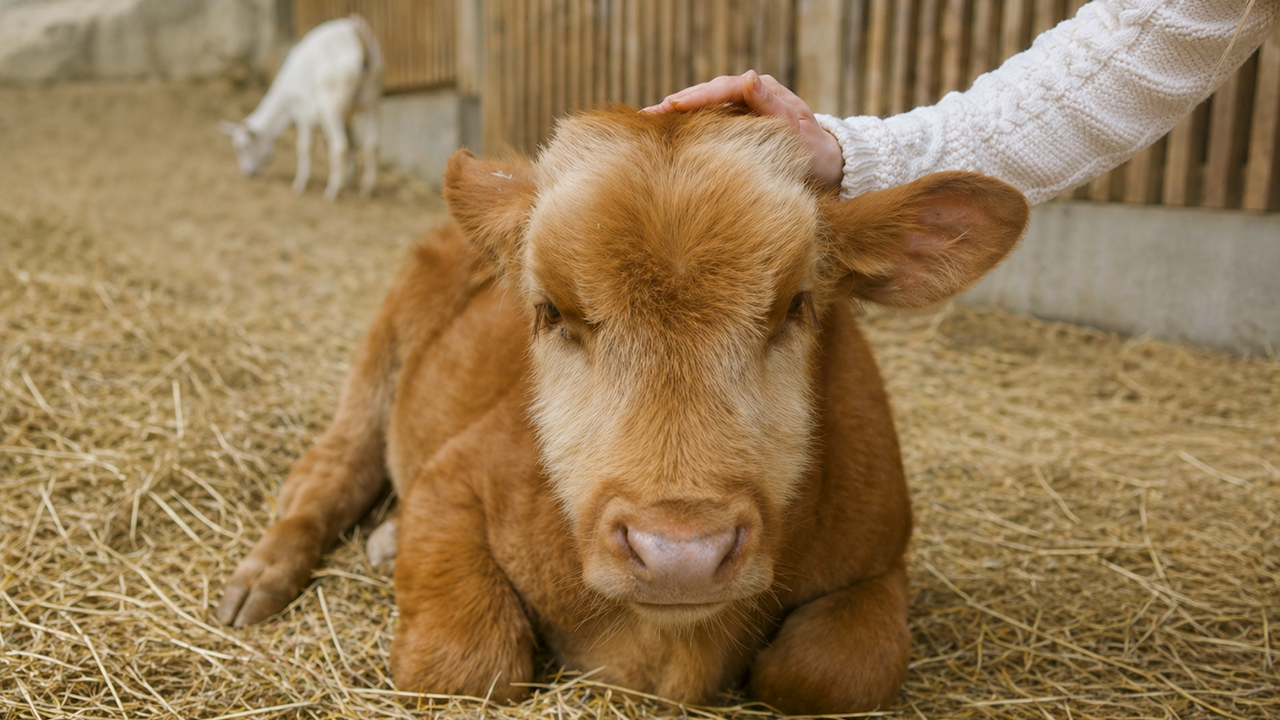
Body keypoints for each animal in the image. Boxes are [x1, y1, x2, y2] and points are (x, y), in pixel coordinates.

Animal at [215, 105, 1028, 713]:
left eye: (798, 306)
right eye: (548, 311)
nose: (680, 554)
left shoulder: (883, 558)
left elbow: (830, 673)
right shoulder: (453, 478)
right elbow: (467, 666)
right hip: (381, 356)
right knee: (328, 472)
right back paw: (262, 579)